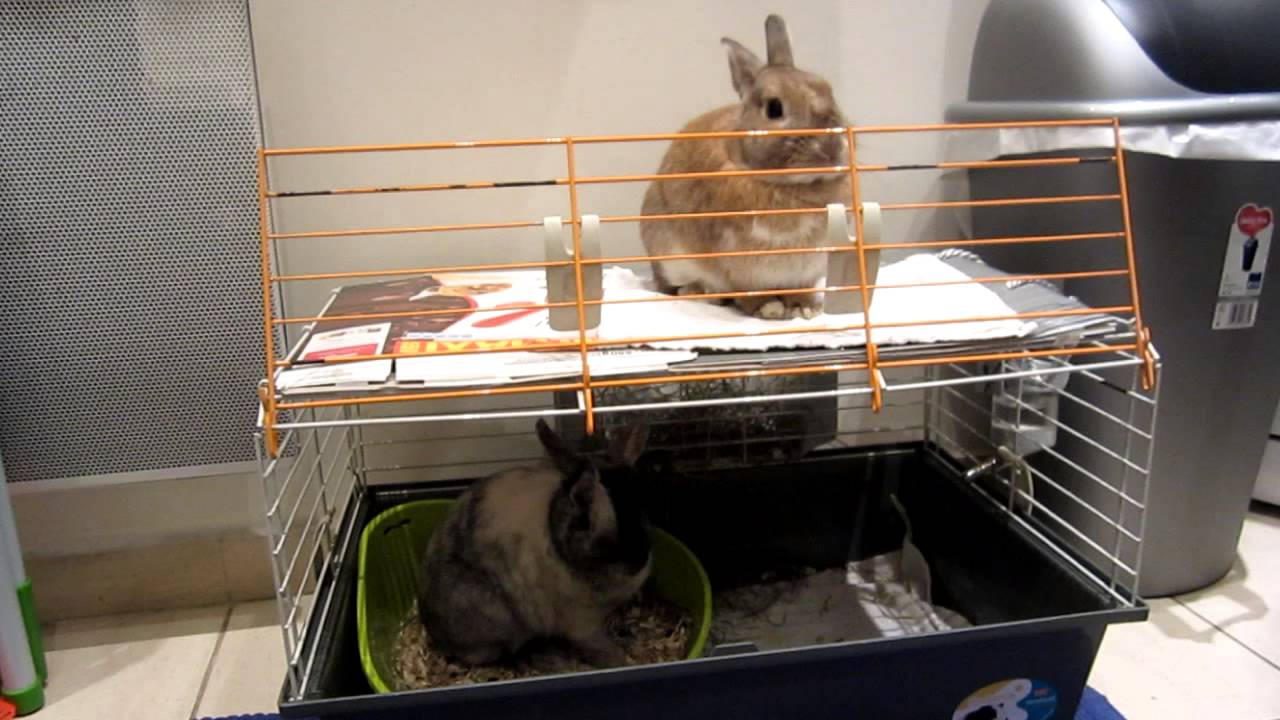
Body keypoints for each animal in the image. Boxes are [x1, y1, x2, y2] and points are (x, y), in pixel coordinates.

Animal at [417, 419, 652, 669]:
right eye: (584, 520)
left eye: (641, 506)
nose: (636, 562)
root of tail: (437, 634)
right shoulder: (582, 625)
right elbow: (598, 646)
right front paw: (619, 660)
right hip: (497, 621)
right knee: (507, 653)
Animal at [641, 14, 851, 320]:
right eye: (774, 109)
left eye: (828, 89)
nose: (832, 146)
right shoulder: (740, 268)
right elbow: (749, 294)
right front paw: (771, 309)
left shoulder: (807, 271)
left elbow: (800, 291)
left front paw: (806, 308)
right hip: (669, 257)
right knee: (675, 286)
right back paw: (704, 292)